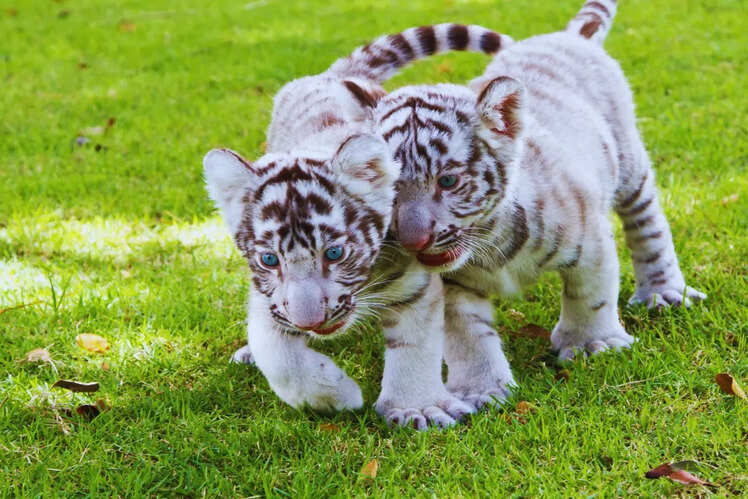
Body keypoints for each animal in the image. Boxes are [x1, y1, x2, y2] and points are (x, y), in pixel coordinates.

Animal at [204, 24, 515, 428]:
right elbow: (280, 357)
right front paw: (335, 396)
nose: (309, 322)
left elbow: (414, 348)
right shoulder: (267, 299)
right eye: (270, 260)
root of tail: (328, 75)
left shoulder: (416, 287)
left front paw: (416, 407)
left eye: (335, 254)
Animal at [367, 0, 706, 407]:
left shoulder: (591, 239)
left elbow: (590, 295)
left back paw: (663, 292)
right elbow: (466, 333)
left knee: (647, 225)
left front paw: (592, 344)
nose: (413, 240)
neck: (490, 243)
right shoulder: (453, 286)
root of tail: (567, 36)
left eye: (447, 181)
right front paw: (482, 388)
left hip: (629, 165)